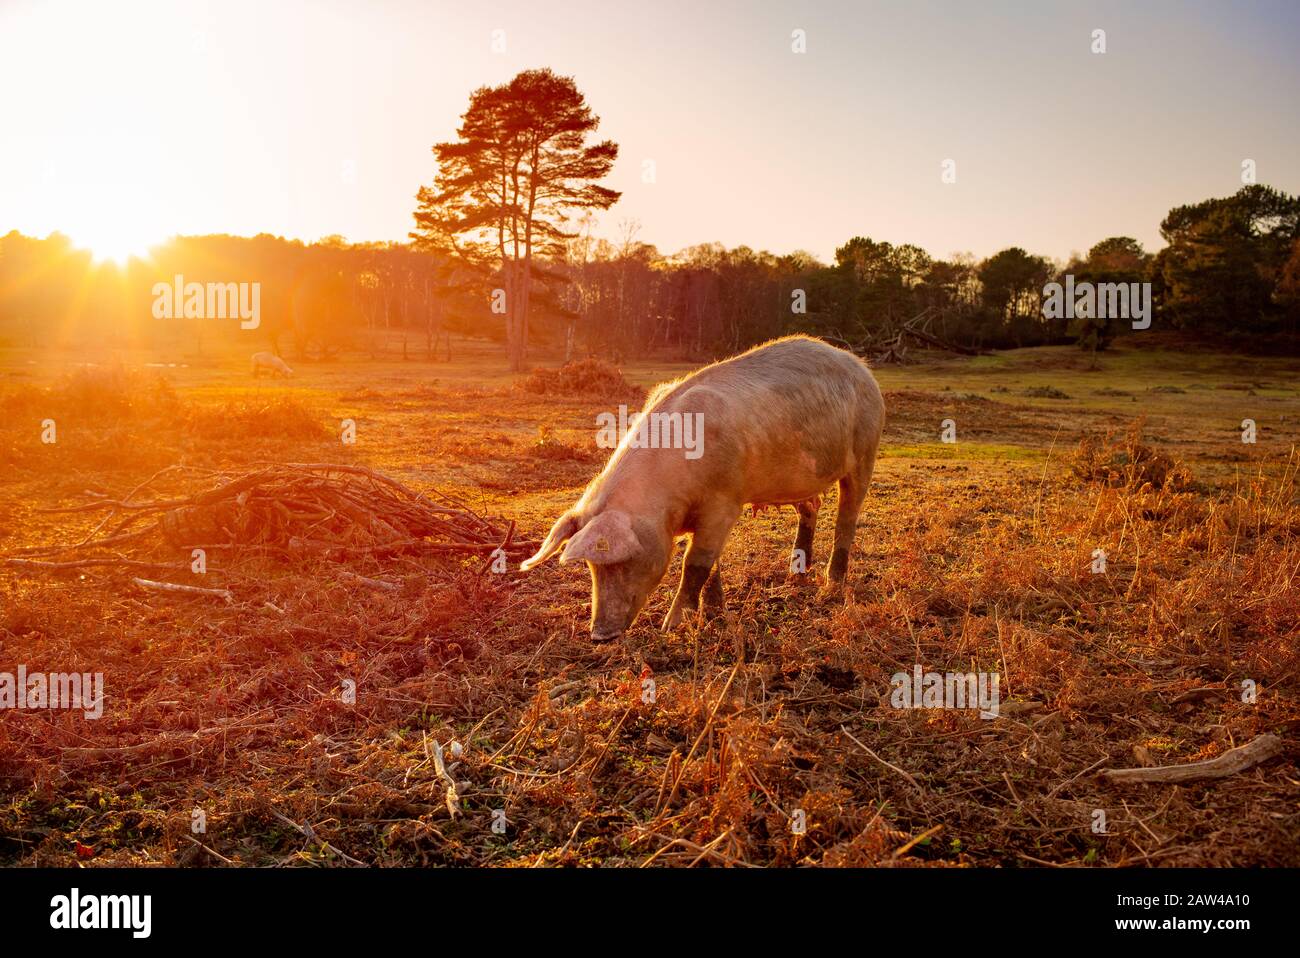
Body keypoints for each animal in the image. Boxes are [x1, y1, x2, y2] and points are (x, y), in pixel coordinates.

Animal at [520, 335, 885, 642]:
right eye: (592, 568)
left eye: (620, 562)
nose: (599, 635)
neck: (667, 498)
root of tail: (862, 367)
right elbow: (711, 565)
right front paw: (713, 614)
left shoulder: (724, 502)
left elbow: (695, 564)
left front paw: (670, 627)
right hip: (801, 479)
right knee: (810, 508)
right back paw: (797, 575)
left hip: (866, 447)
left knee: (847, 518)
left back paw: (830, 588)